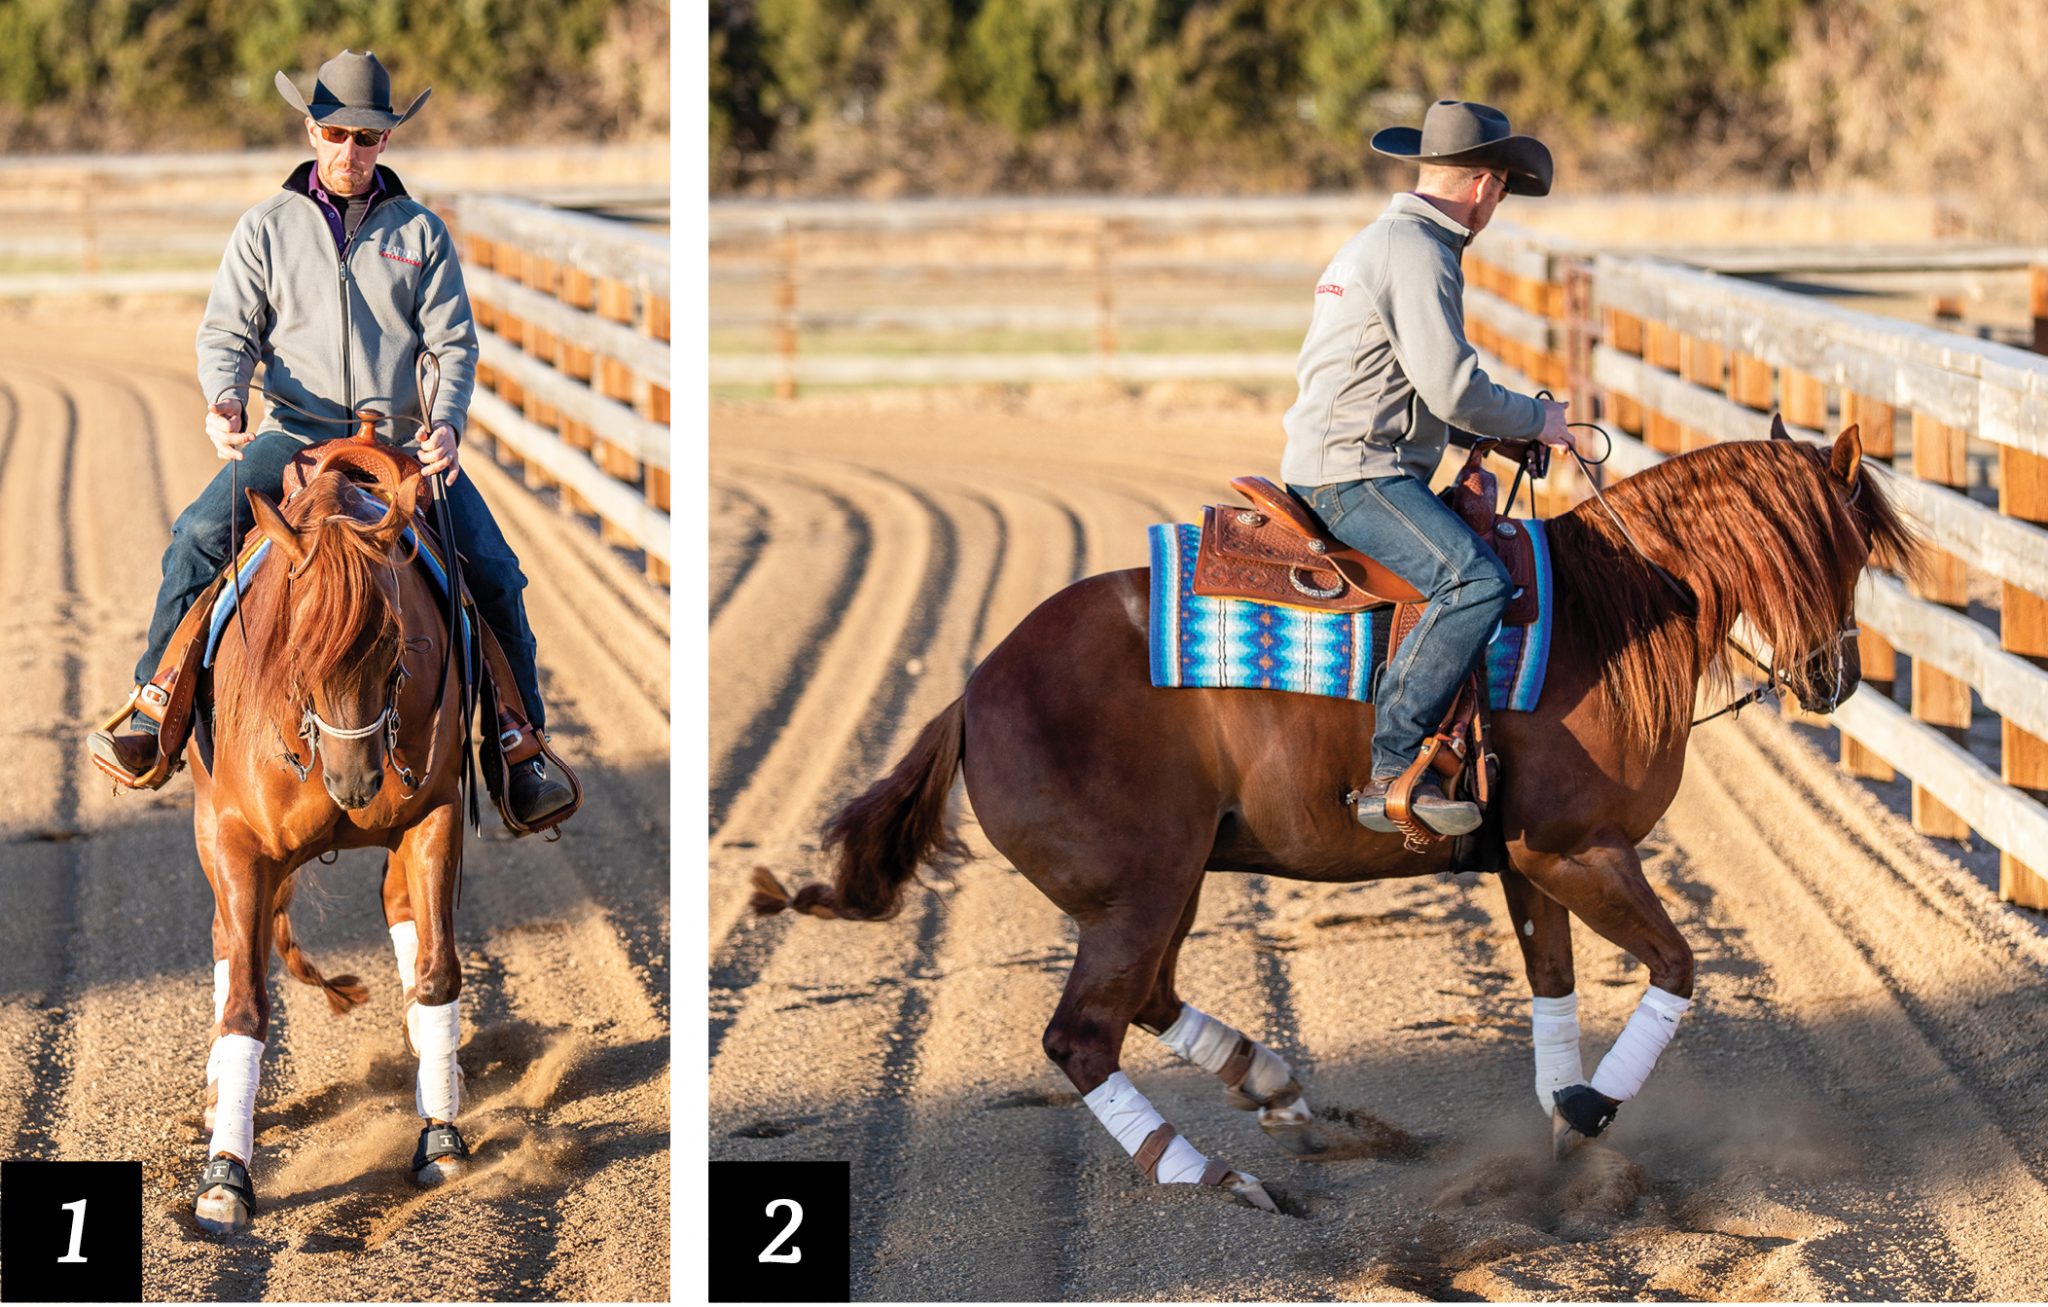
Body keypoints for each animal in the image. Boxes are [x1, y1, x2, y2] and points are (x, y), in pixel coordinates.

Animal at [190, 461, 471, 1234]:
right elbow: (246, 1003)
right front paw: (226, 1177)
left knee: (403, 916)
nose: (357, 782)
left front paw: (440, 1133)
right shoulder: (238, 842)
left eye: (395, 644)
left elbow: (437, 970)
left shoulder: (435, 814)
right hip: (208, 828)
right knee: (226, 940)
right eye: (298, 649)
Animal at [753, 419, 1921, 1209]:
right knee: (1081, 1034)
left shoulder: (1527, 861)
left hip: (1165, 885)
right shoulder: (1576, 849)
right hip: (1138, 891)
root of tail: (974, 686)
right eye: (1836, 549)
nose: (1836, 681)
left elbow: (1551, 990)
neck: (1606, 614)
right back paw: (1216, 1176)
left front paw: (1564, 1142)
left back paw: (1272, 1084)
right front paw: (1592, 1108)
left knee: (1147, 1001)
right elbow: (1677, 965)